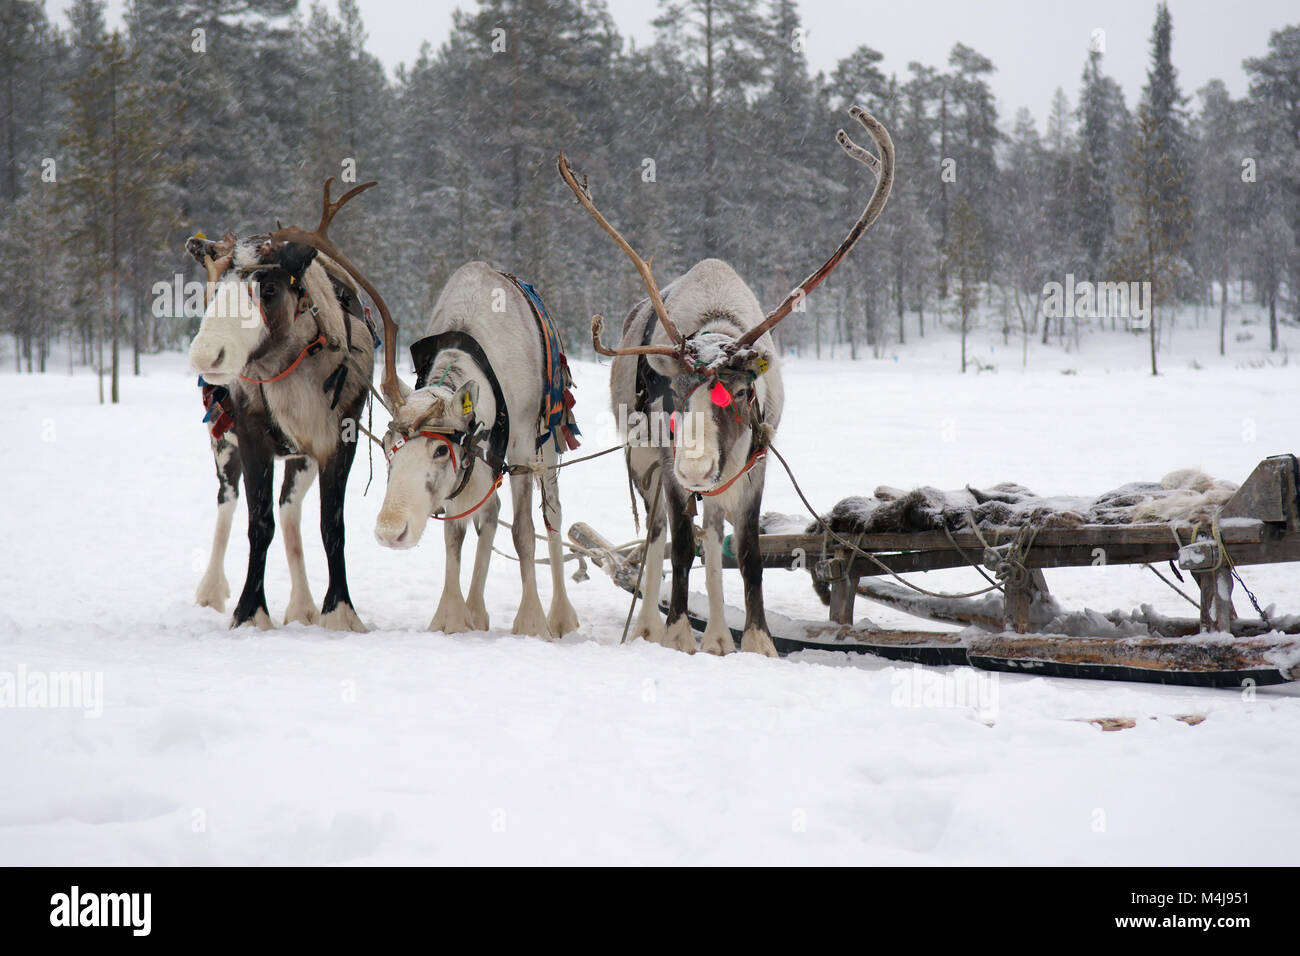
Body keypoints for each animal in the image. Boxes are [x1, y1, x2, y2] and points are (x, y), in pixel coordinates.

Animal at [186, 180, 403, 630]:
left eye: (268, 288)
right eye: (213, 289)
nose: (206, 355)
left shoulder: (338, 439)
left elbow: (331, 526)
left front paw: (339, 610)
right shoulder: (252, 435)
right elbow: (258, 524)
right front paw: (250, 611)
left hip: (300, 457)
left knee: (290, 511)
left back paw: (302, 604)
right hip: (222, 442)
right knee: (227, 501)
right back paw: (211, 589)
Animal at [372, 262, 582, 641]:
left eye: (441, 450)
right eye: (385, 445)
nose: (390, 531)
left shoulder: (521, 450)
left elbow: (524, 532)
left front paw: (532, 621)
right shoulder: (468, 471)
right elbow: (454, 534)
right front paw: (452, 616)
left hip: (549, 445)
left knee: (553, 516)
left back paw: (560, 614)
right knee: (491, 511)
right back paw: (475, 609)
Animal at [557, 105, 893, 657]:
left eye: (738, 392)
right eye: (672, 393)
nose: (695, 467)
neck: (716, 328)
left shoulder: (755, 461)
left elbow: (749, 550)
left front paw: (757, 640)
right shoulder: (668, 462)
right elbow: (680, 544)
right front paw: (675, 633)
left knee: (714, 531)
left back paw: (718, 635)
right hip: (645, 461)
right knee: (657, 534)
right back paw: (650, 626)